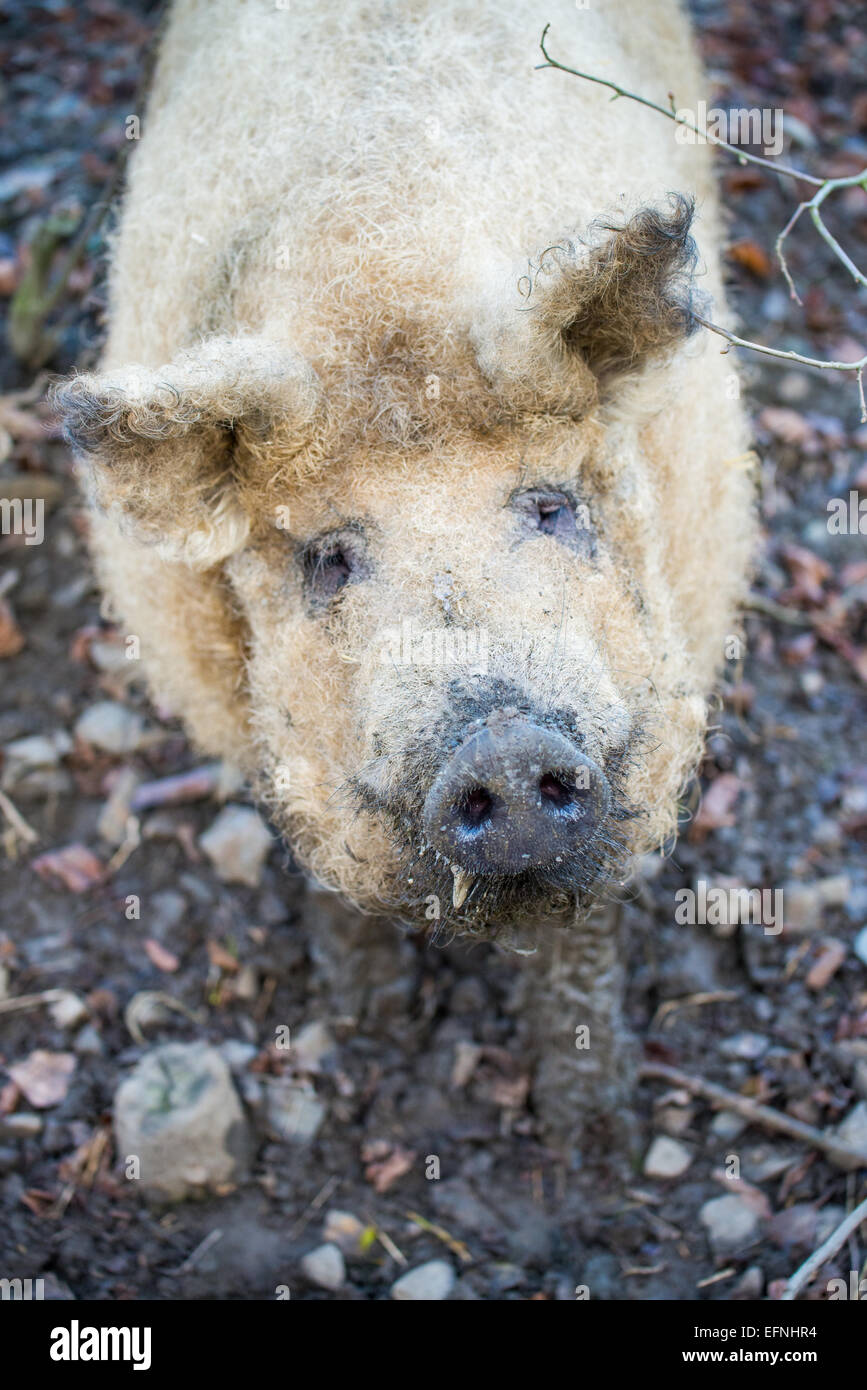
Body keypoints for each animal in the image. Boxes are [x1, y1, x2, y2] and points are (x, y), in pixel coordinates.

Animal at [57, 0, 756, 1153]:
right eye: (328, 559)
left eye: (552, 507)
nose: (505, 749)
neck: (385, 273)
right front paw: (365, 1018)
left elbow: (588, 921)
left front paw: (593, 1136)